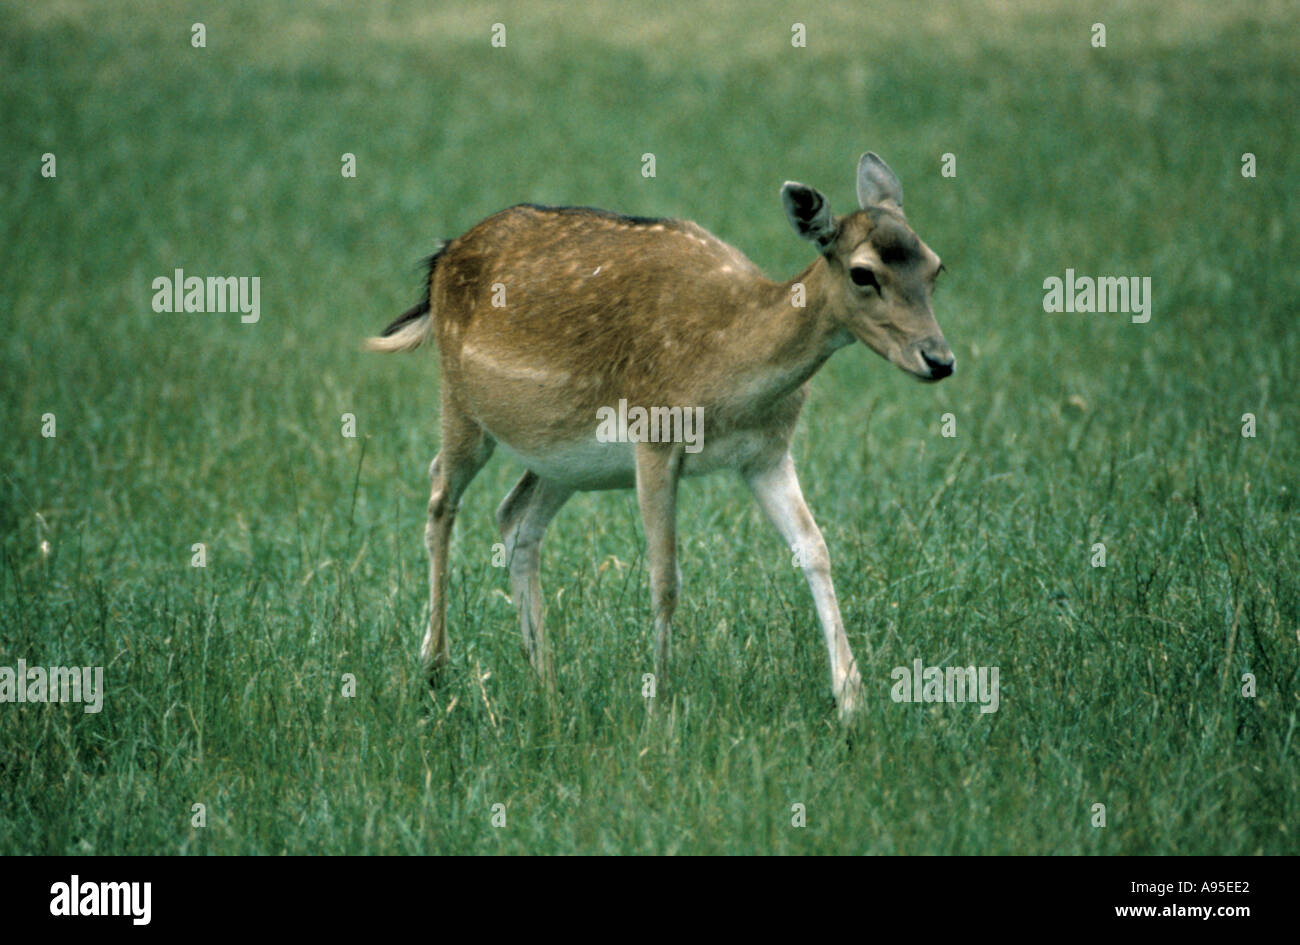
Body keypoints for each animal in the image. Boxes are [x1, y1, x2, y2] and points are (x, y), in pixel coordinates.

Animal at [366, 152, 953, 717]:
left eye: (936, 266)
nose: (940, 360)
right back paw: (434, 668)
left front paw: (853, 702)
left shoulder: (766, 454)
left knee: (515, 516)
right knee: (440, 494)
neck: (731, 370)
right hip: (461, 401)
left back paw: (547, 685)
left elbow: (815, 549)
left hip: (563, 457)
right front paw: (658, 708)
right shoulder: (654, 435)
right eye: (863, 273)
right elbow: (665, 580)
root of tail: (441, 258)